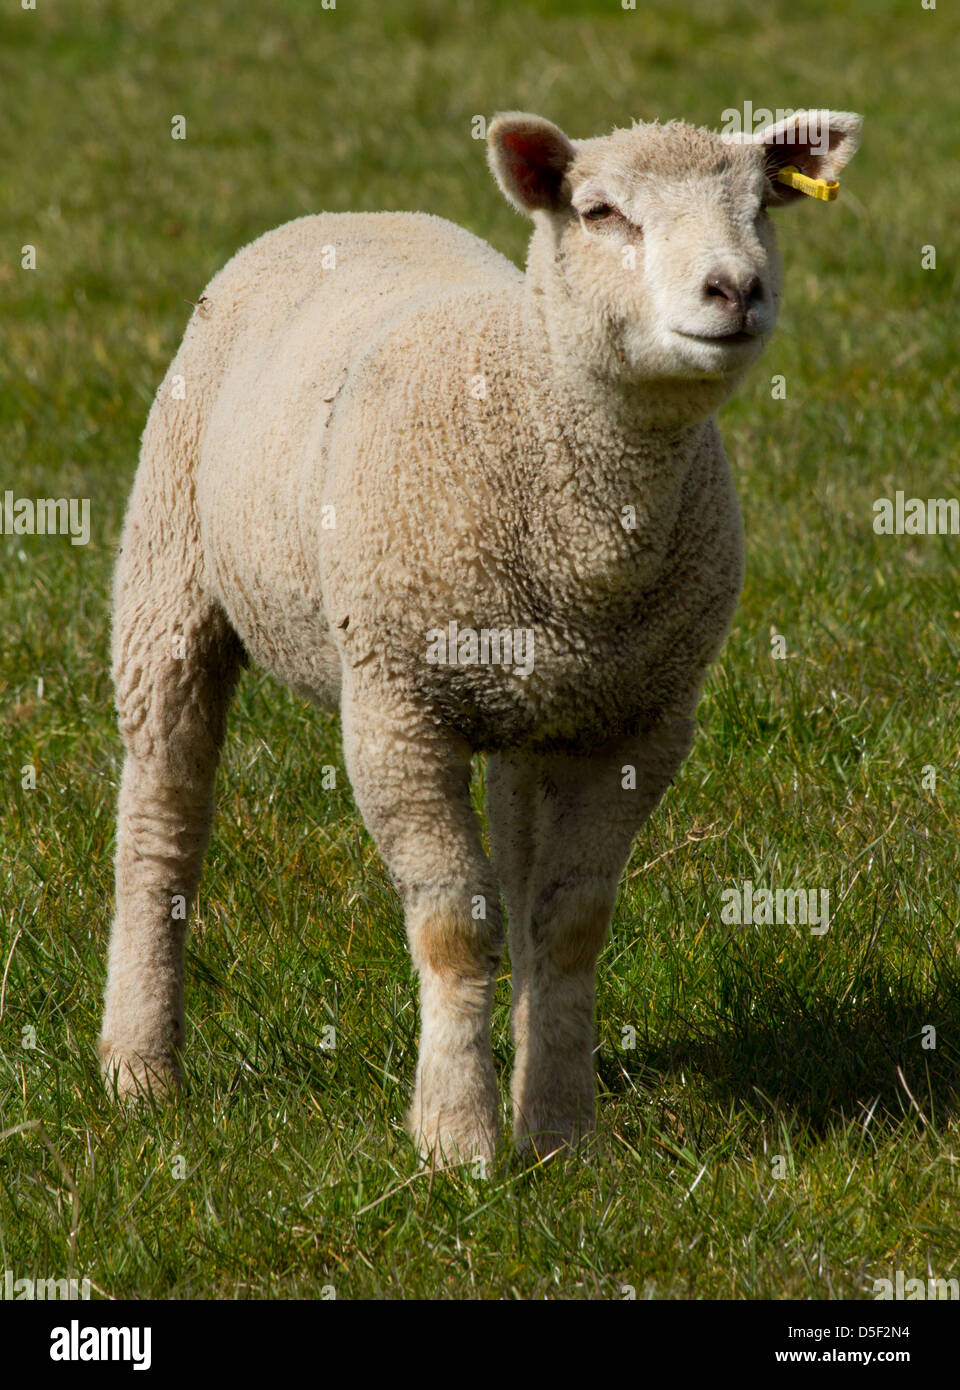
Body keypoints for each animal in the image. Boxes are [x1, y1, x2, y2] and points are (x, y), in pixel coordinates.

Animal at [99, 107, 862, 1164]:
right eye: (601, 212)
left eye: (763, 207)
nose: (735, 289)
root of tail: (351, 212)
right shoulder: (395, 709)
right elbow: (455, 925)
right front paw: (455, 1139)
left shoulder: (641, 723)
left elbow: (570, 921)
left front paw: (560, 1134)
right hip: (170, 573)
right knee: (161, 824)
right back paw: (141, 1071)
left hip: (532, 703)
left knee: (520, 865)